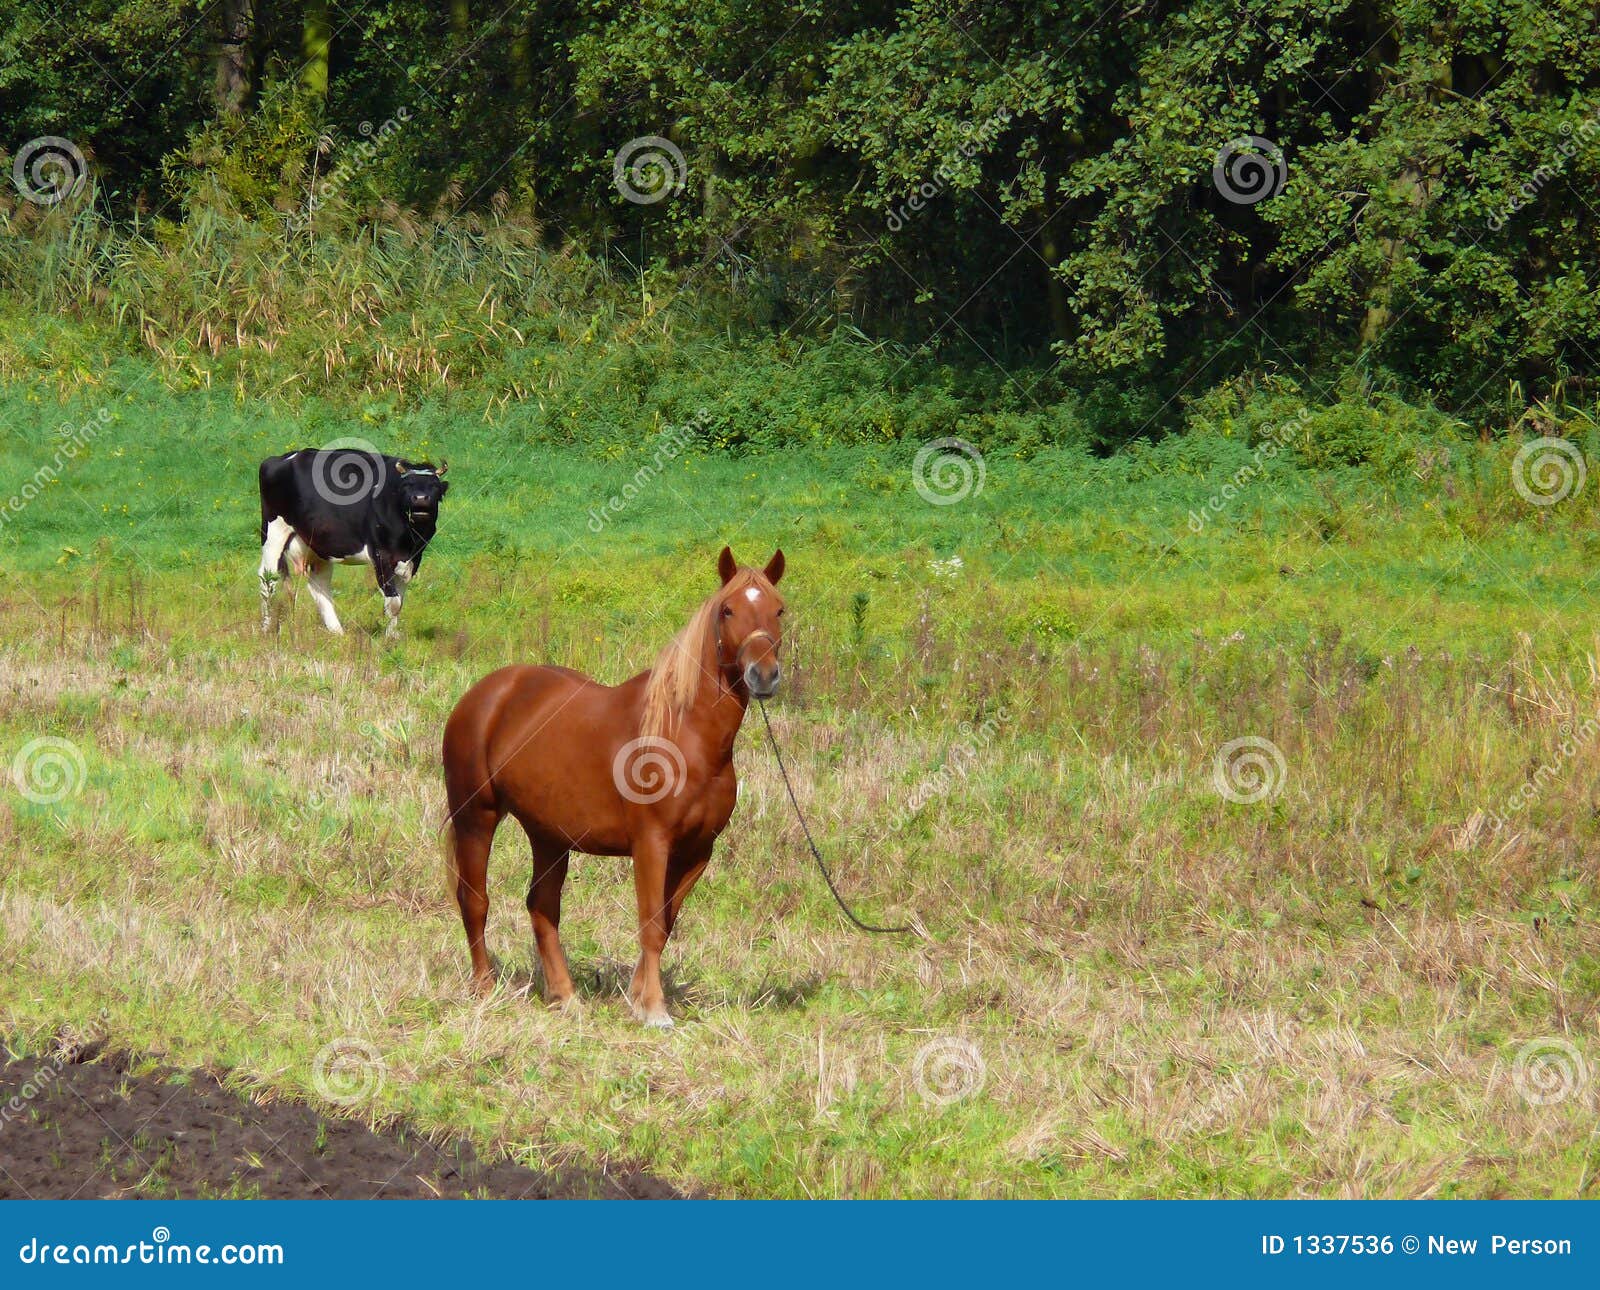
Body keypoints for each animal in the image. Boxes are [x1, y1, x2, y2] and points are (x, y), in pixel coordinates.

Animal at [258, 447, 449, 638]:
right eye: (407, 485)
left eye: (435, 486)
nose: (421, 498)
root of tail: (284, 457)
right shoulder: (381, 555)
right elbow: (393, 602)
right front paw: (388, 638)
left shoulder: (413, 558)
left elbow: (399, 602)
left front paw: (392, 635)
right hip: (273, 534)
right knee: (267, 579)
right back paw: (266, 628)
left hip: (319, 545)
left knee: (319, 585)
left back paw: (337, 631)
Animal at [441, 546, 786, 1027]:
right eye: (728, 609)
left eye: (779, 609)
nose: (764, 675)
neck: (684, 735)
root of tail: (485, 694)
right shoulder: (651, 844)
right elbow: (651, 923)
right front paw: (654, 1009)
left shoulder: (698, 851)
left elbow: (665, 922)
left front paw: (639, 997)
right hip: (476, 817)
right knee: (474, 900)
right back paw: (485, 989)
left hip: (548, 835)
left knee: (542, 906)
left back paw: (565, 996)